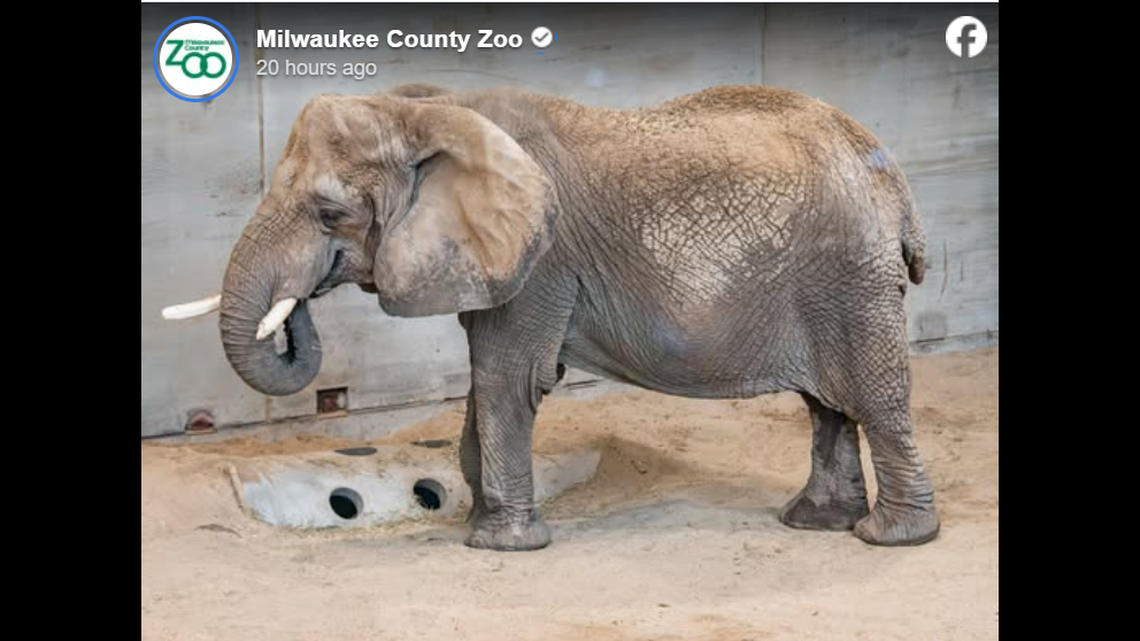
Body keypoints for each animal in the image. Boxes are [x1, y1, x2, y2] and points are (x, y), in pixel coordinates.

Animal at [165, 83, 939, 551]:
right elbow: (485, 384)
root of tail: (892, 178)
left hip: (851, 278)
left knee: (873, 399)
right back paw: (815, 523)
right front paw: (482, 520)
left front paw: (497, 544)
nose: (302, 301)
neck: (427, 108)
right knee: (827, 404)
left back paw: (889, 537)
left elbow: (507, 381)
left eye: (330, 213)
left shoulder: (538, 261)